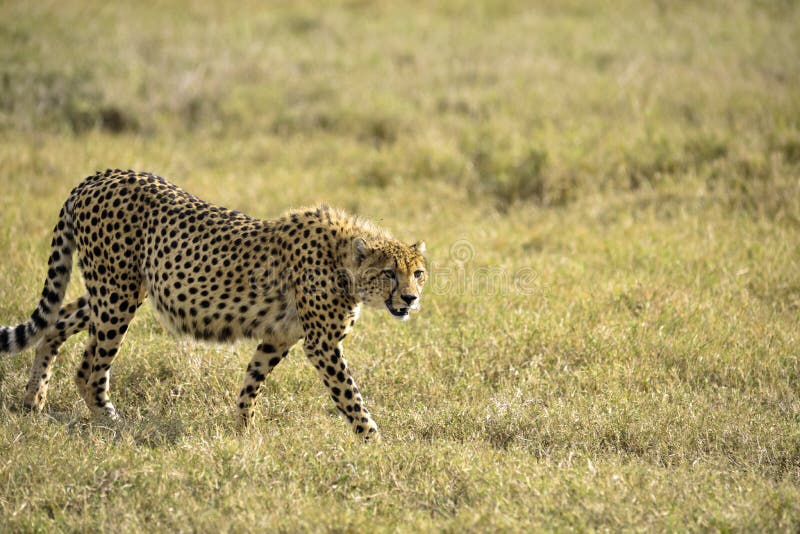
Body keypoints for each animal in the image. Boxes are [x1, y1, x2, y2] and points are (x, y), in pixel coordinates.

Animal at [0, 169, 427, 440]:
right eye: (389, 273)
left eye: (418, 273)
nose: (410, 298)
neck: (344, 260)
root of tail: (101, 176)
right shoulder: (321, 344)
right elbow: (350, 395)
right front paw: (374, 442)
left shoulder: (279, 336)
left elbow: (252, 381)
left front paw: (244, 432)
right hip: (116, 294)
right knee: (90, 367)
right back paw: (112, 423)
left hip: (117, 290)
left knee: (55, 325)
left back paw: (34, 400)